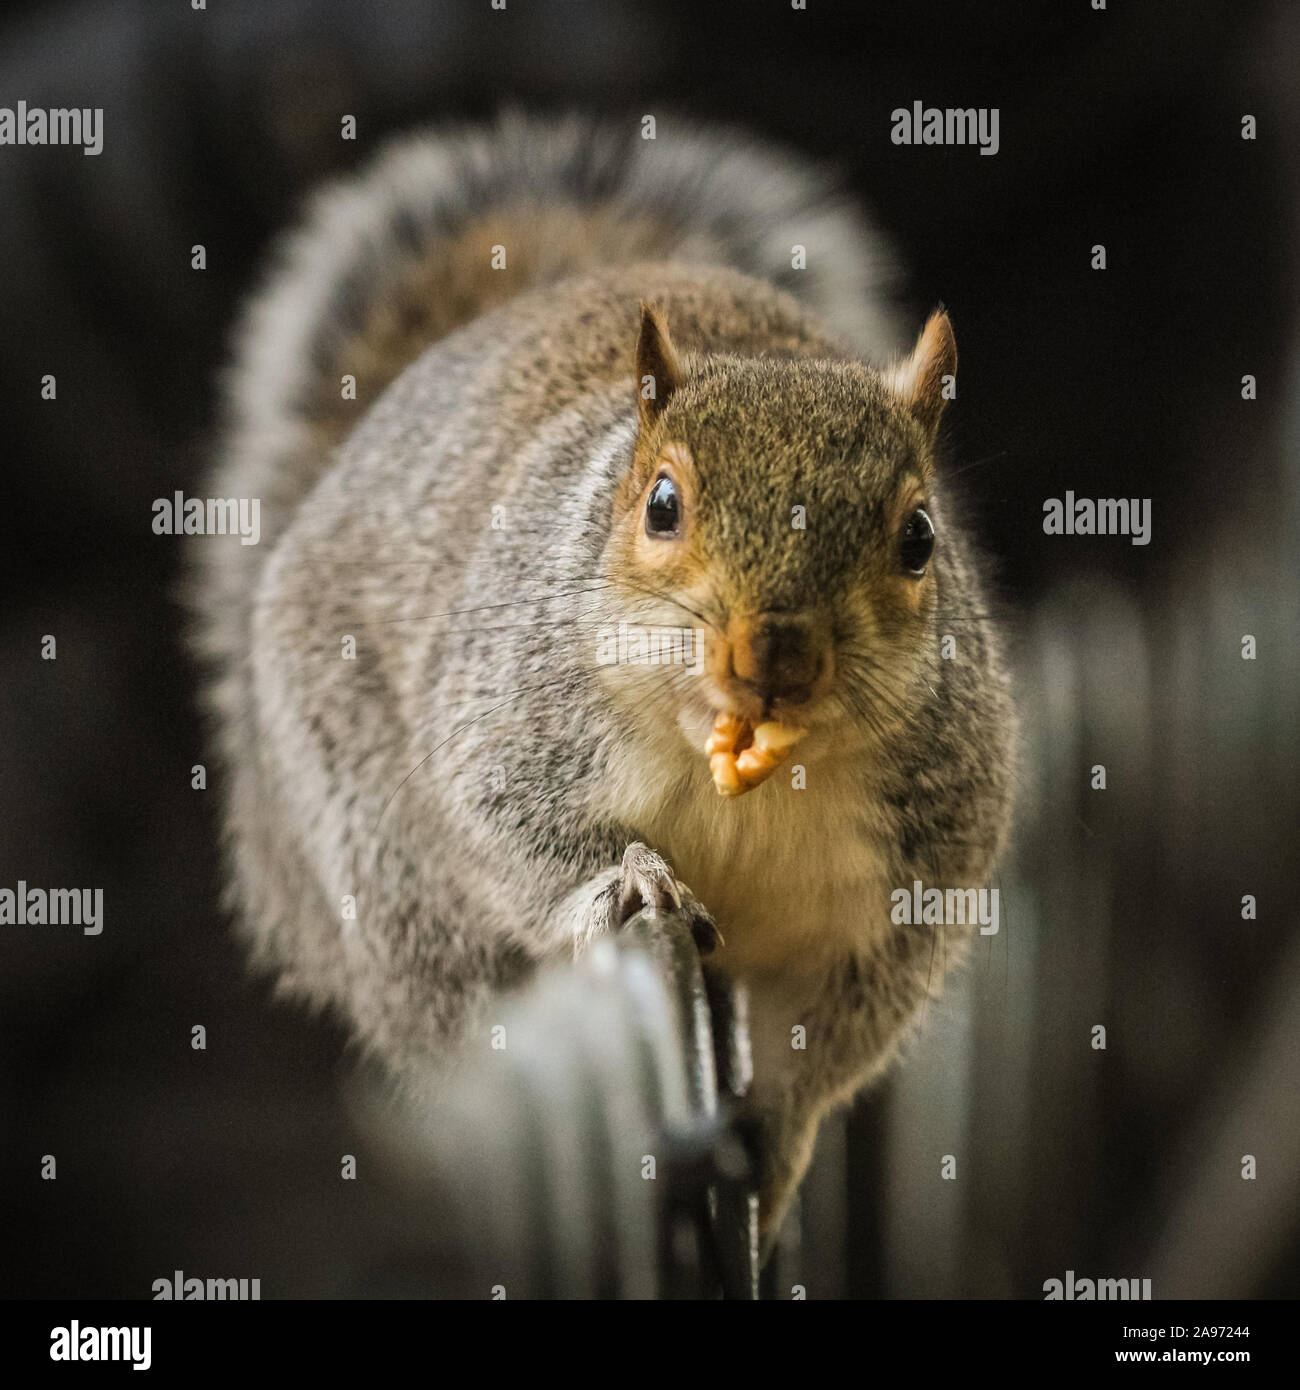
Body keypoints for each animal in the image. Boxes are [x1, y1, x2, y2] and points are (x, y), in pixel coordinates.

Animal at [191, 112, 1016, 1241]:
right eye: (661, 505)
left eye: (920, 537)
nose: (774, 658)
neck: (741, 774)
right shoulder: (510, 716)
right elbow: (506, 824)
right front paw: (621, 880)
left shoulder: (914, 865)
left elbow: (830, 1035)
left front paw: (773, 1143)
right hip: (380, 861)